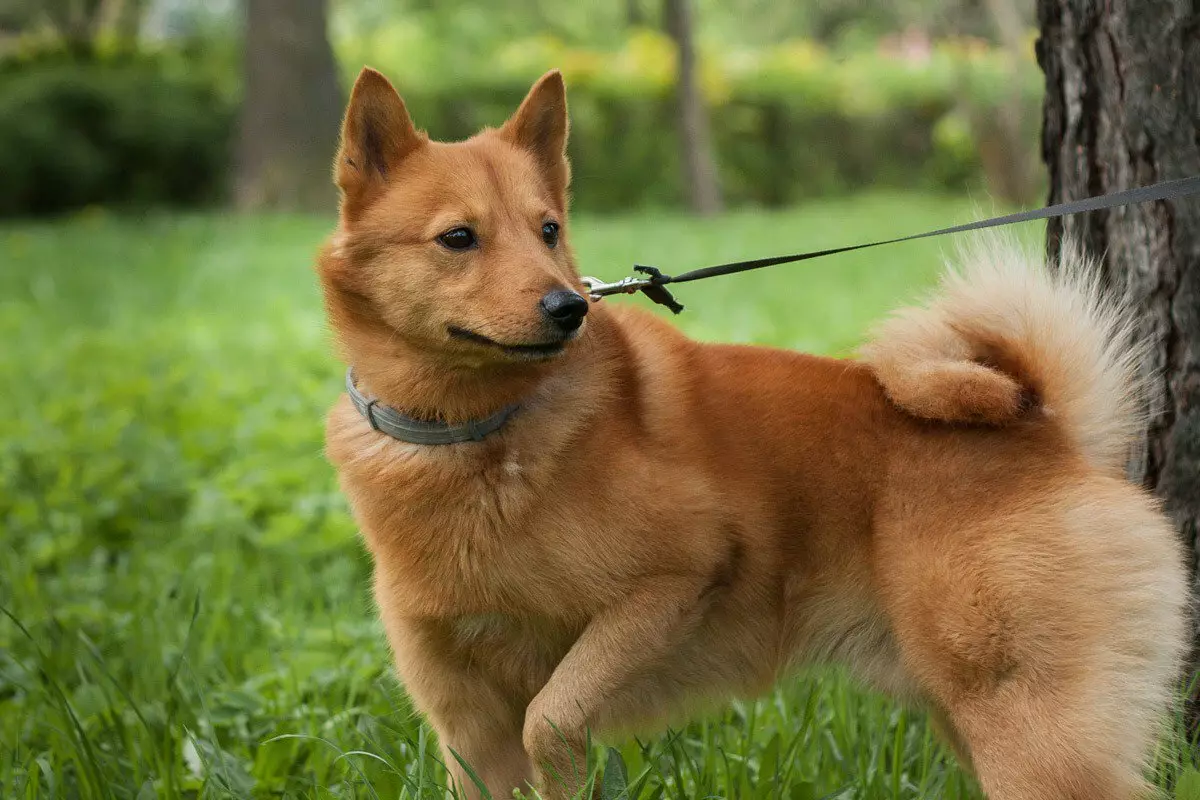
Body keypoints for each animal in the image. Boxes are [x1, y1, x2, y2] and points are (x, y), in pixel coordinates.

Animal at [316, 68, 1190, 800]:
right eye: (459, 238)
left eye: (548, 230)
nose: (569, 306)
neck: (471, 436)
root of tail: (1048, 431)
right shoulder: (464, 727)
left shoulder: (676, 576)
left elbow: (552, 719)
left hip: (1025, 729)